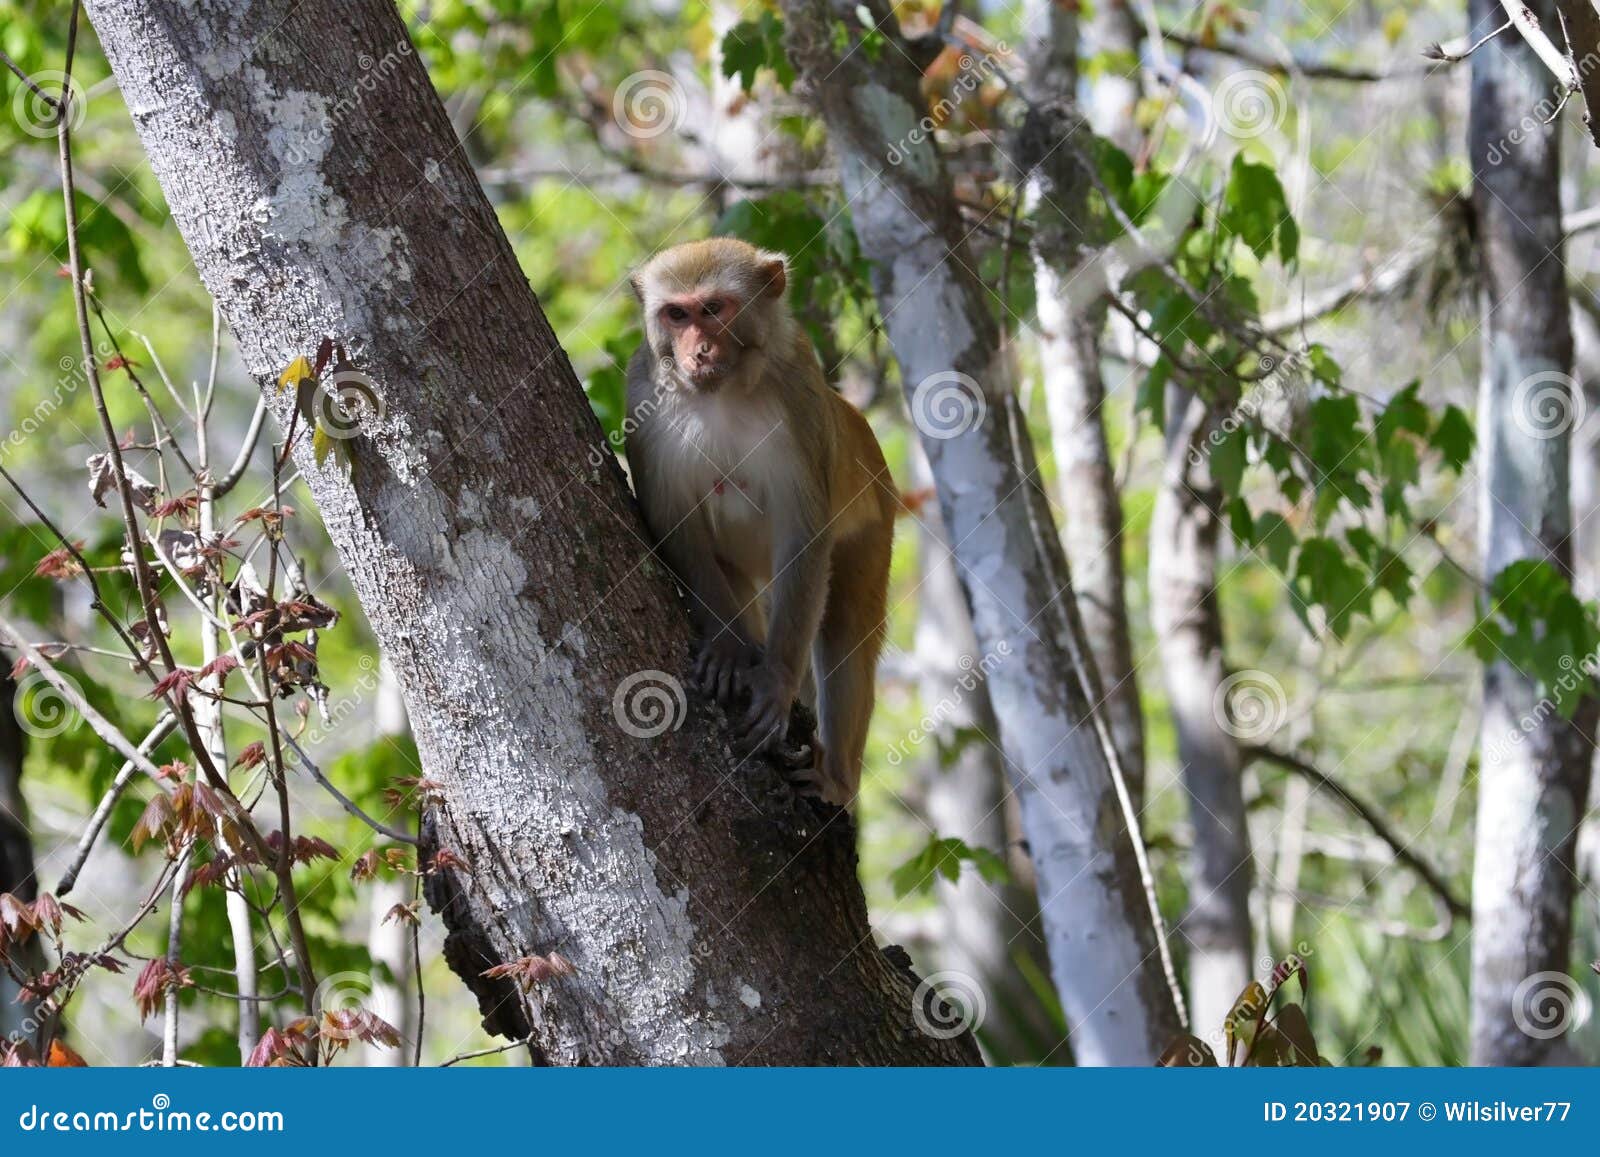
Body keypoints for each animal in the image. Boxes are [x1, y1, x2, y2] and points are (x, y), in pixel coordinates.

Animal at [623, 237, 895, 807]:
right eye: (676, 314)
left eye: (713, 309)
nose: (699, 351)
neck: (724, 392)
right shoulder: (641, 393)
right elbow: (673, 520)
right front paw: (728, 647)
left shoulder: (800, 393)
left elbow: (805, 533)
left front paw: (777, 682)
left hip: (875, 523)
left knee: (844, 632)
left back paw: (837, 777)